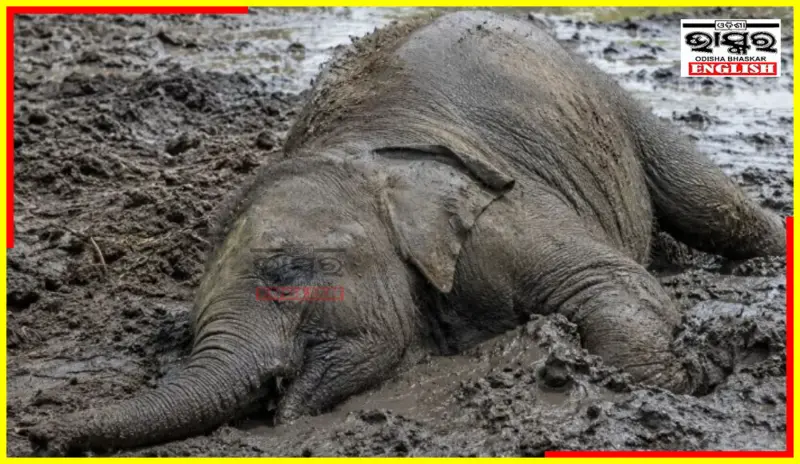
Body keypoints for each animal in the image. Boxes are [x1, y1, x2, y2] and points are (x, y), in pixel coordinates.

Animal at [27, 10, 786, 456]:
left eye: (287, 274)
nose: (35, 424)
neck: (353, 157)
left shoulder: (499, 214)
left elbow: (611, 287)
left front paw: (690, 376)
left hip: (616, 106)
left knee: (712, 204)